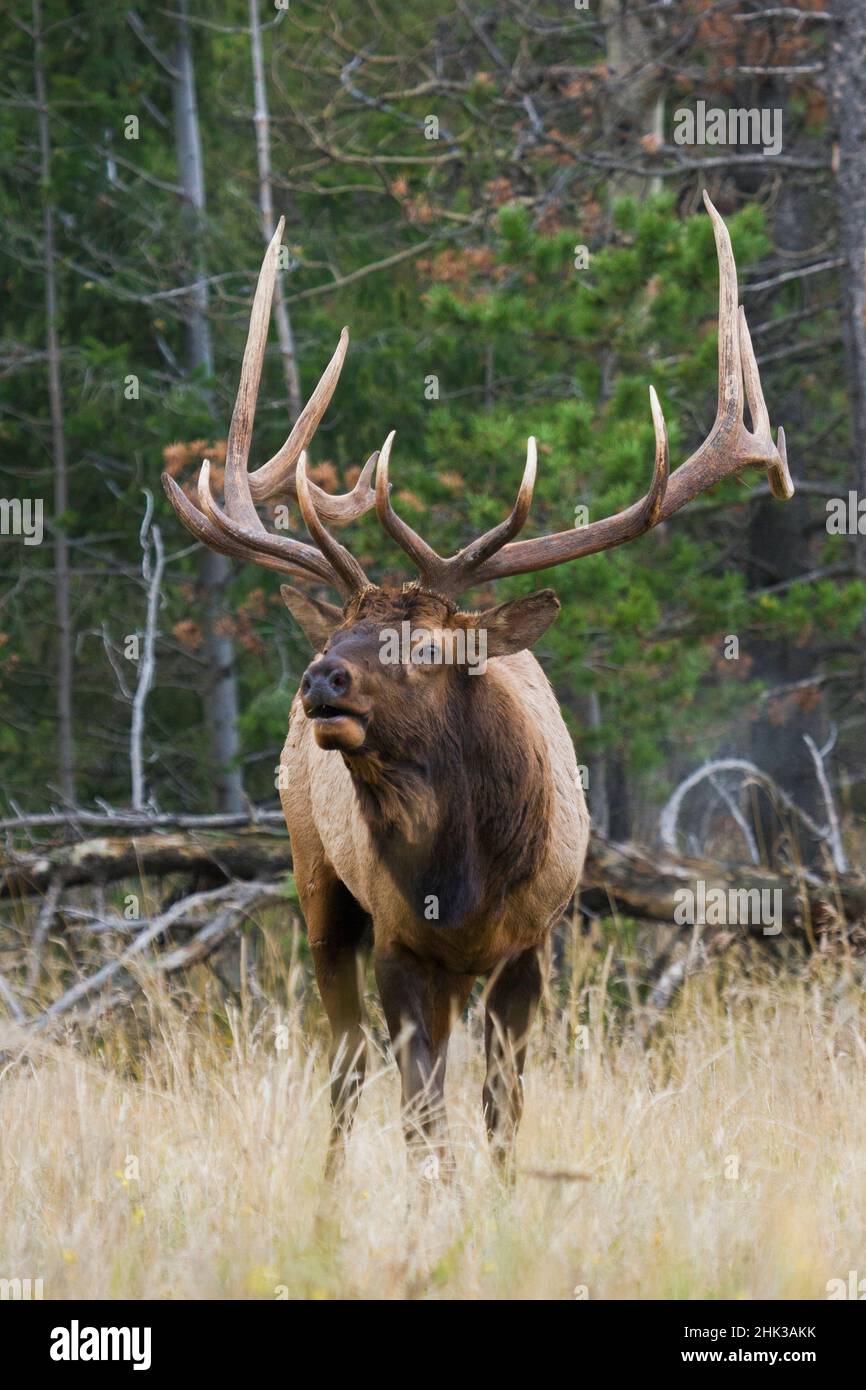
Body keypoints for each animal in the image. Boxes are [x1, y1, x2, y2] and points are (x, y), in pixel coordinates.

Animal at [163, 193, 793, 1178]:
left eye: (426, 643)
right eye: (340, 629)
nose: (319, 678)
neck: (464, 880)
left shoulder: (534, 940)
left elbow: (504, 1106)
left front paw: (495, 1192)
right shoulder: (396, 939)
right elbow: (422, 1110)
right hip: (315, 882)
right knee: (345, 1061)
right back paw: (328, 1184)